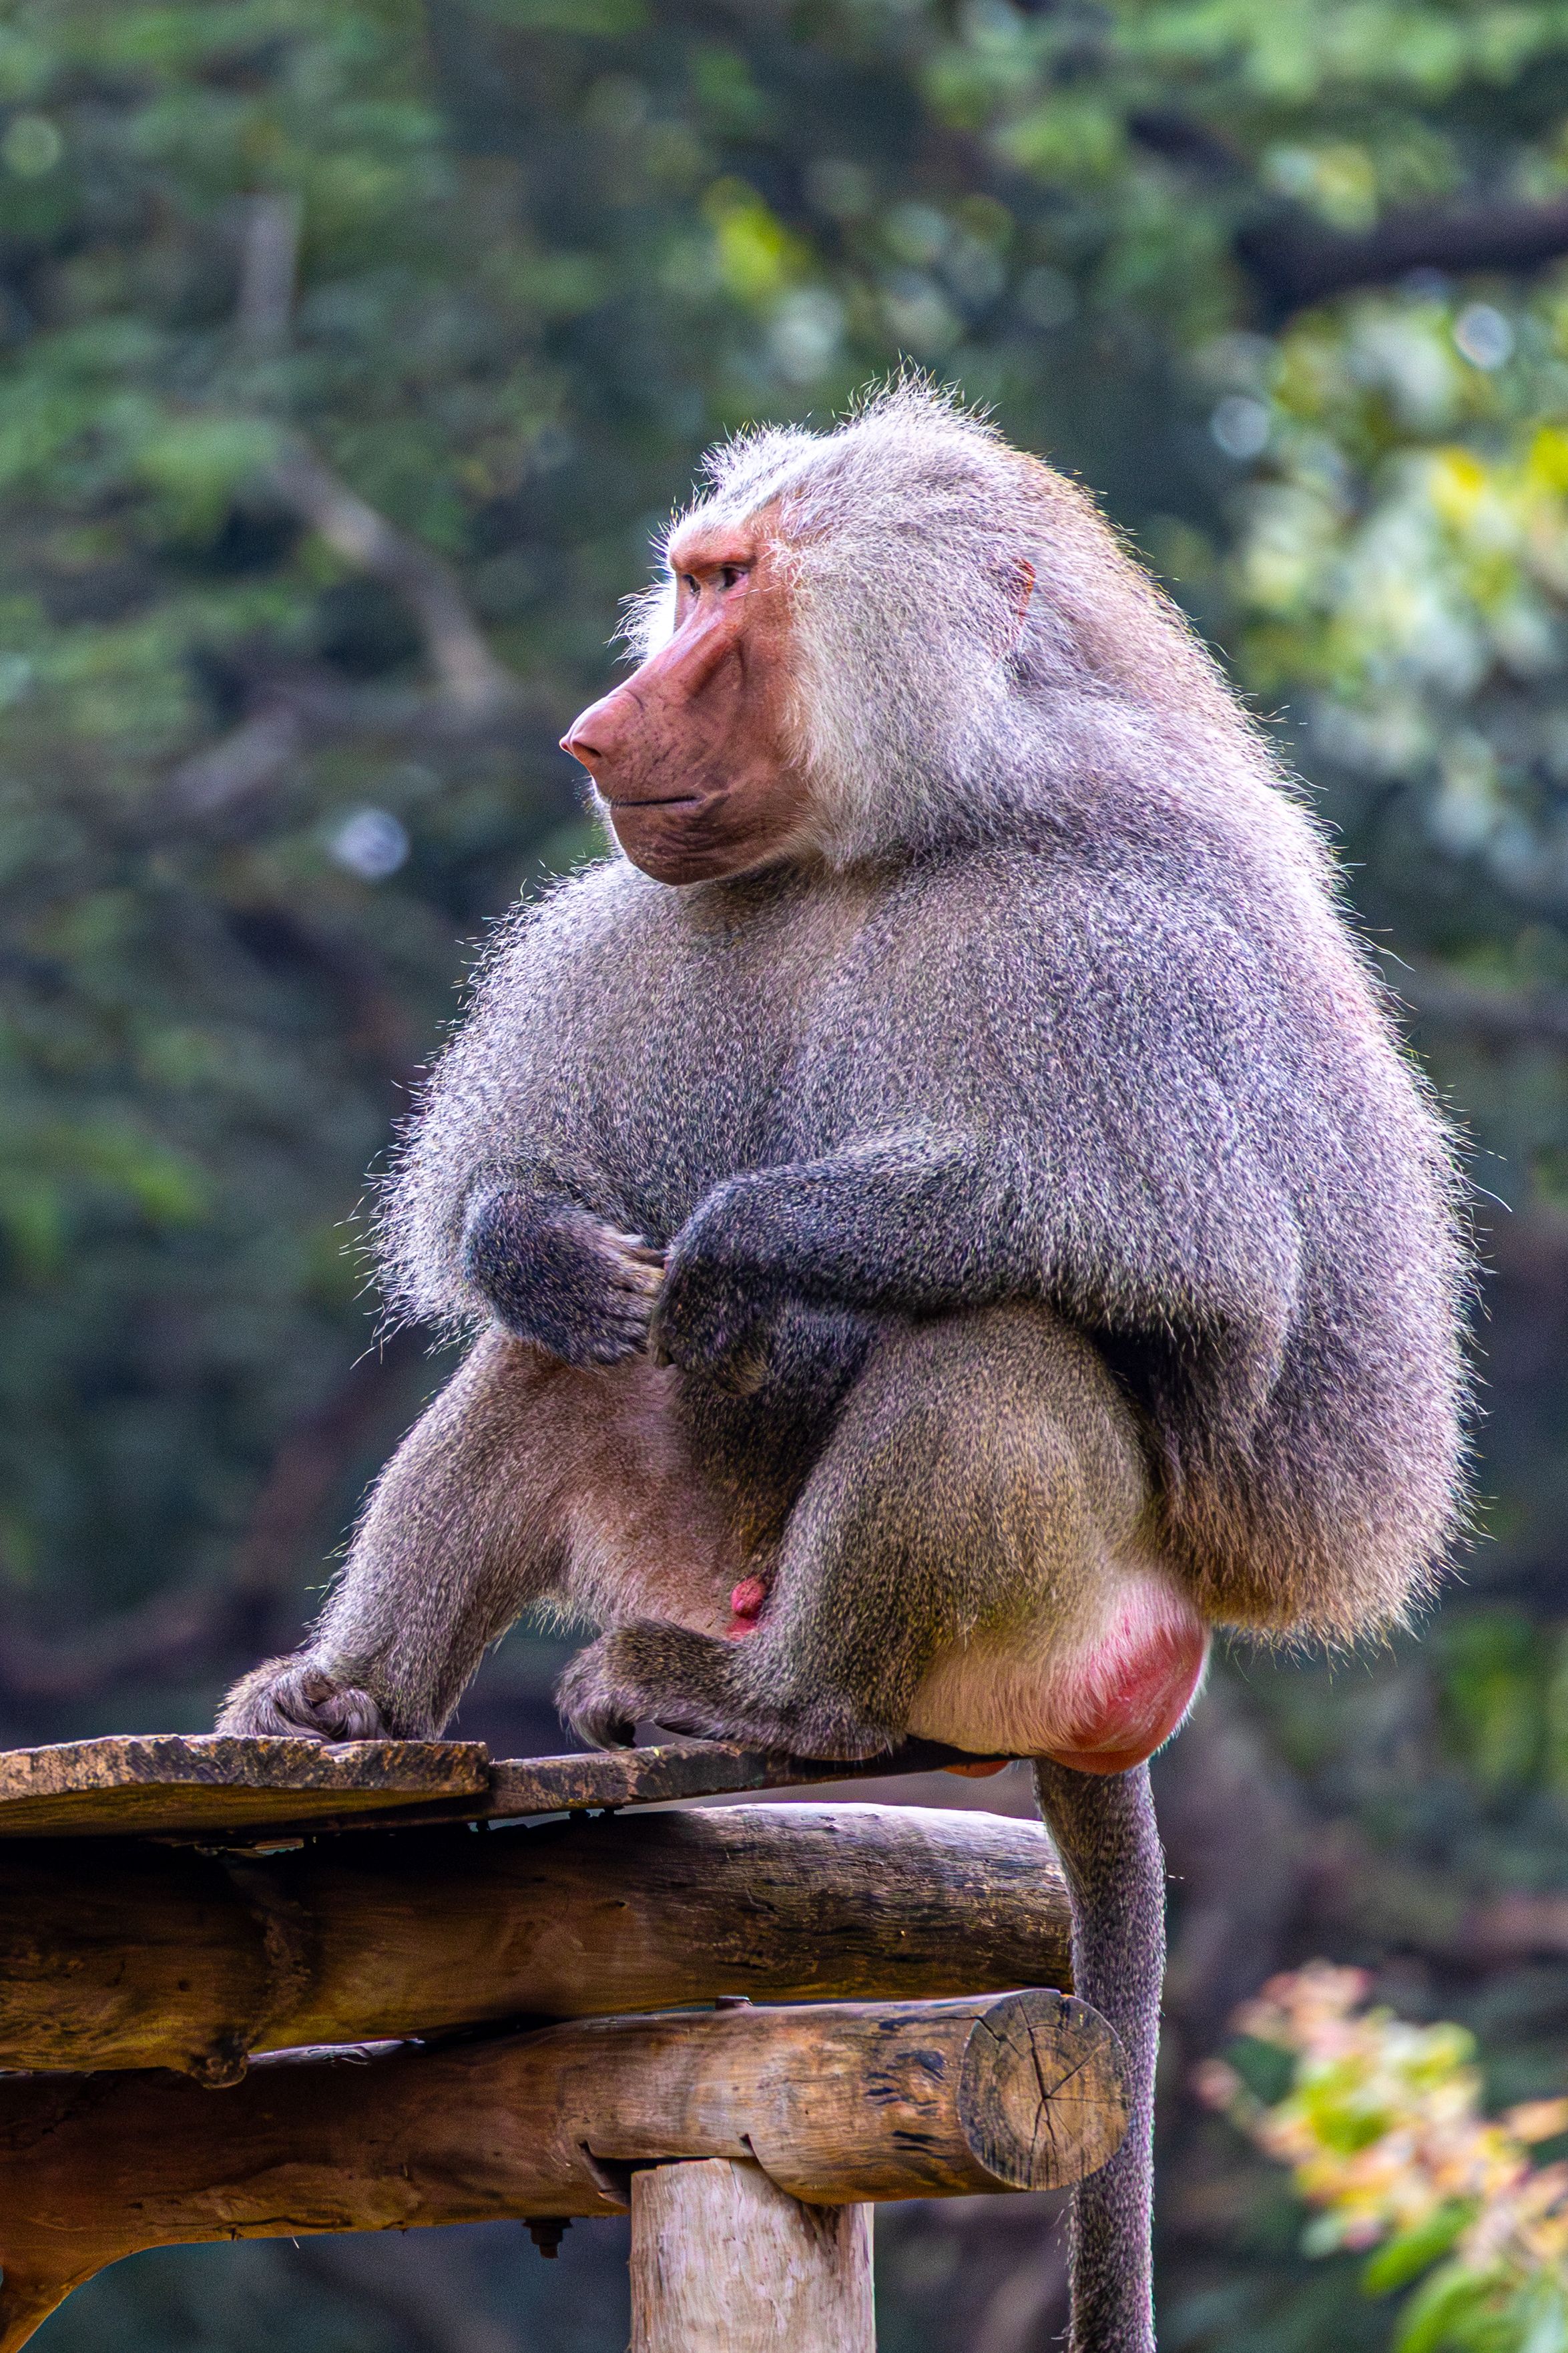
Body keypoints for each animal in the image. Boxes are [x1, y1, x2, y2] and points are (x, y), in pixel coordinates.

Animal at [220, 384, 1467, 2352]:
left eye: (732, 589)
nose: (595, 730)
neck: (881, 836)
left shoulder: (1124, 942)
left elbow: (1180, 1260)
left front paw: (750, 1247)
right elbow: (542, 1233)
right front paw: (544, 1243)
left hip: (1037, 1626)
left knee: (997, 1344)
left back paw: (776, 1702)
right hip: (693, 1538)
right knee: (561, 1368)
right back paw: (353, 1708)